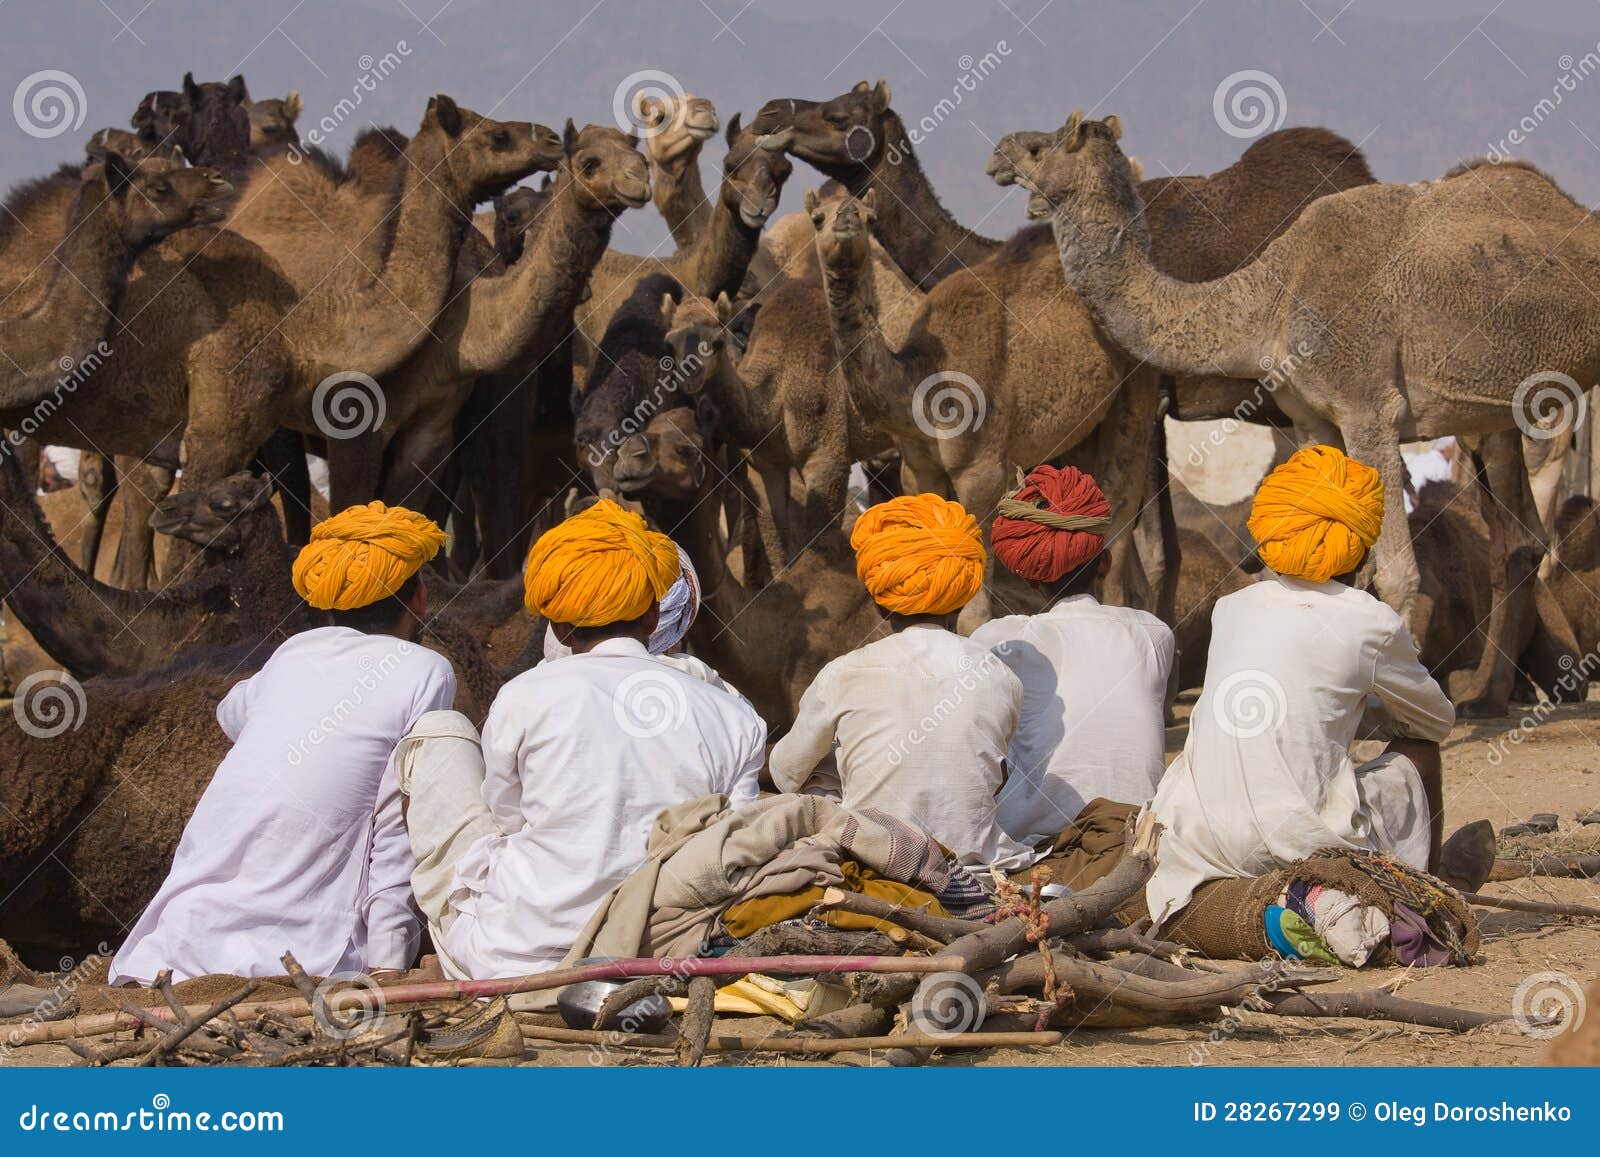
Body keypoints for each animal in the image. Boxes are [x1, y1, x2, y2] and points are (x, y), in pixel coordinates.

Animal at [1009, 112, 1600, 647]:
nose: (1001, 156)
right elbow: (1339, 564)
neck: (1270, 296)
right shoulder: (1314, 419)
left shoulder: (1368, 408)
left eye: (1044, 145)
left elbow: (1396, 573)